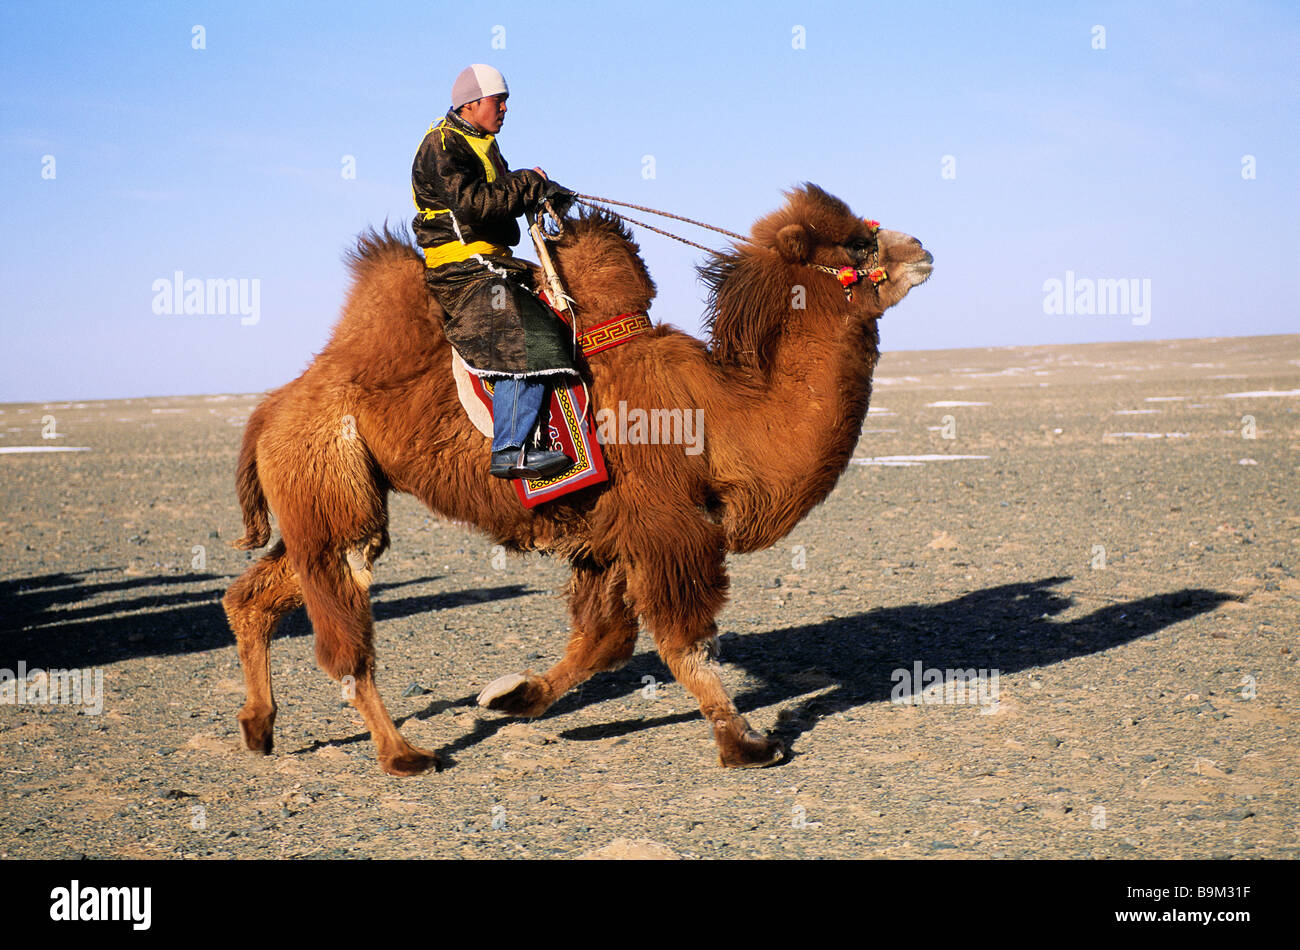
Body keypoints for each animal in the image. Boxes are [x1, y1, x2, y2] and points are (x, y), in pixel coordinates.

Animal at [221, 184, 933, 776]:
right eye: (858, 242)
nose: (923, 248)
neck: (723, 416)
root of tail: (270, 408)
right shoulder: (665, 524)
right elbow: (686, 643)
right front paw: (746, 743)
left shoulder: (608, 535)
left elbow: (604, 641)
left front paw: (513, 695)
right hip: (327, 476)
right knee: (346, 622)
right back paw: (403, 754)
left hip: (318, 496)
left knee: (253, 593)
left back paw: (259, 726)